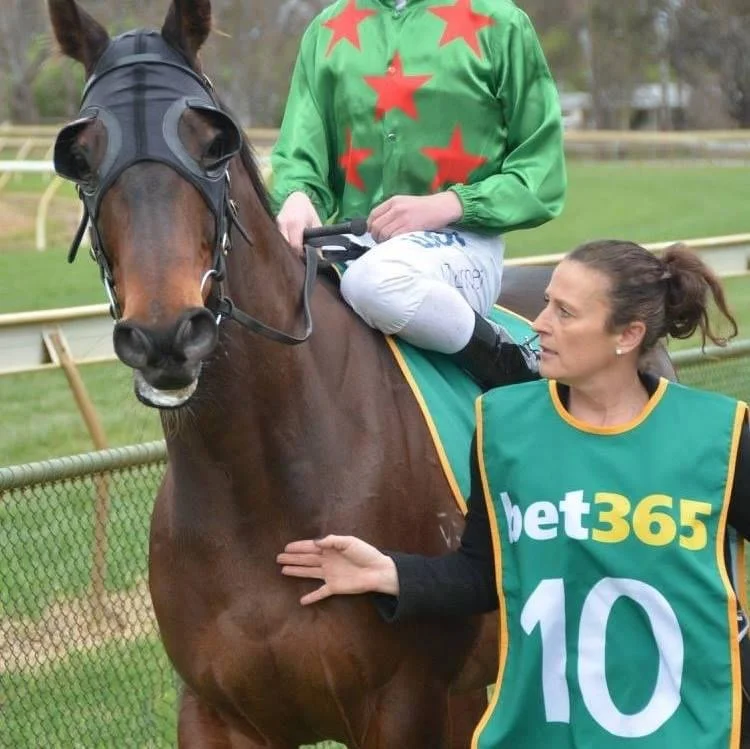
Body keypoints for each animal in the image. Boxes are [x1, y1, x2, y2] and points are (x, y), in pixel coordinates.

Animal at [48, 2, 678, 747]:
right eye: (80, 154)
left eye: (214, 143)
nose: (164, 335)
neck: (257, 488)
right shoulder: (214, 711)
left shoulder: (407, 702)